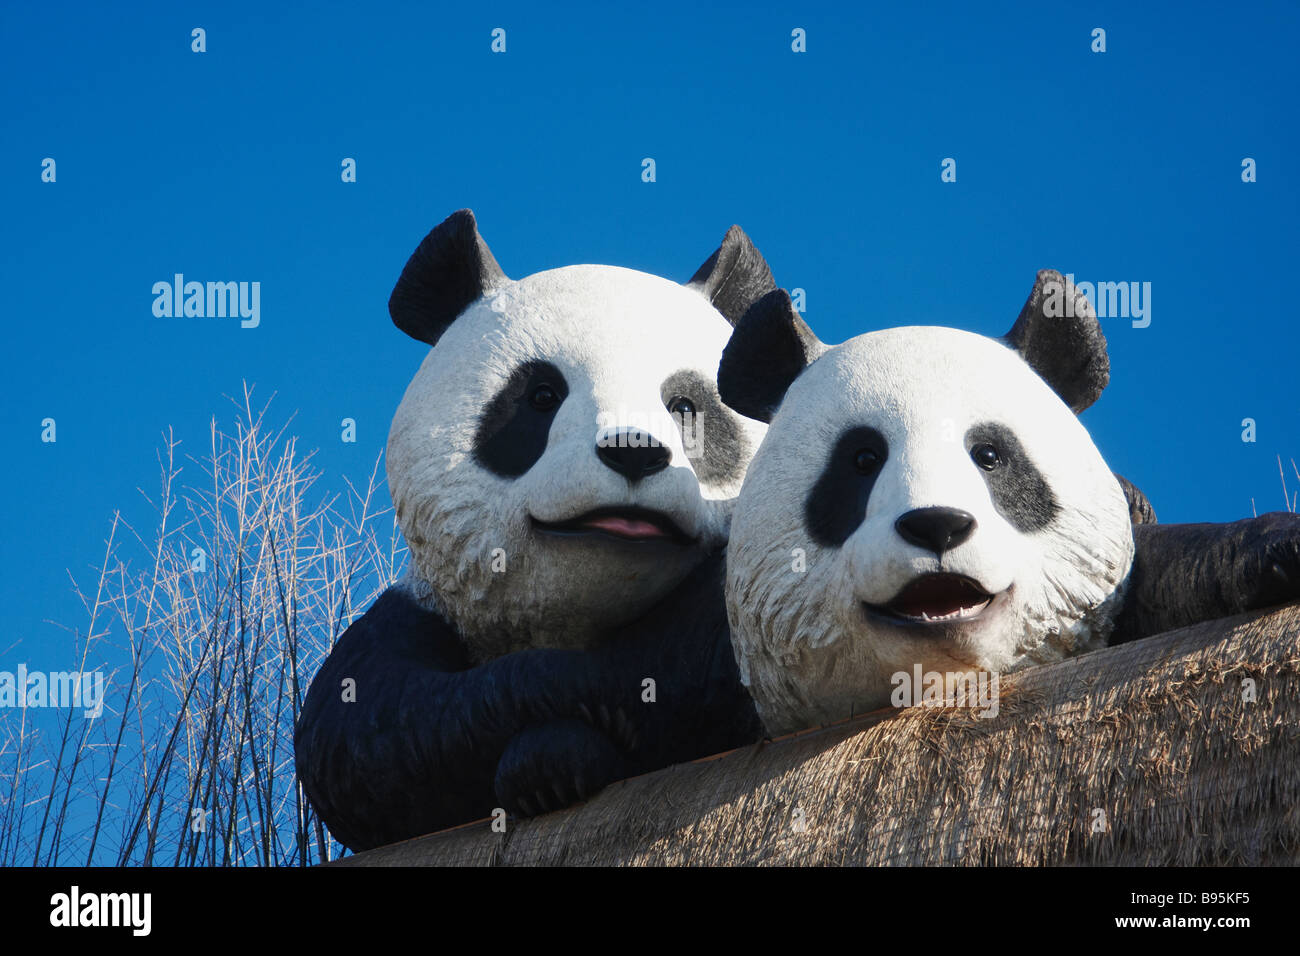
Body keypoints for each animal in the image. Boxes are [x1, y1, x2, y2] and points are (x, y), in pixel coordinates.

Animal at [294, 209, 773, 851]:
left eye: (686, 406)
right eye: (541, 395)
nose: (633, 450)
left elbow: (692, 659)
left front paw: (566, 737)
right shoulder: (417, 613)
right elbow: (362, 742)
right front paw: (552, 753)